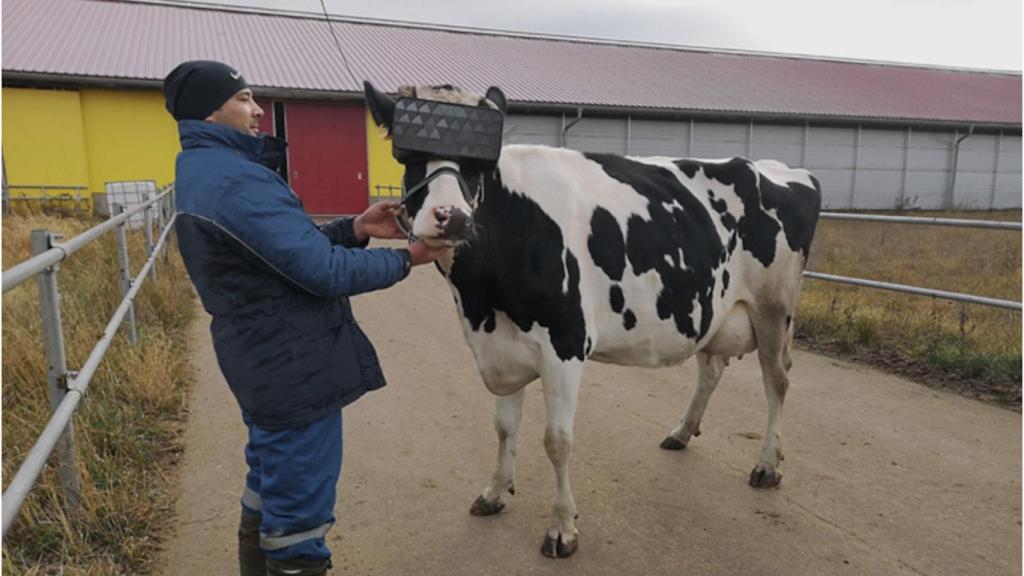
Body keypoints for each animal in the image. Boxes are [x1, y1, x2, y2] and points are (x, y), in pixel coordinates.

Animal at [363, 81, 822, 558]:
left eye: (479, 165)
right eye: (408, 158)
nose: (451, 217)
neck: (482, 301)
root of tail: (780, 168)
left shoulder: (565, 344)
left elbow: (557, 440)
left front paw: (562, 528)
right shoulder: (501, 348)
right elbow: (505, 428)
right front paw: (494, 493)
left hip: (774, 307)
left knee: (777, 379)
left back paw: (767, 466)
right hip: (713, 307)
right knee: (711, 367)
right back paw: (682, 432)